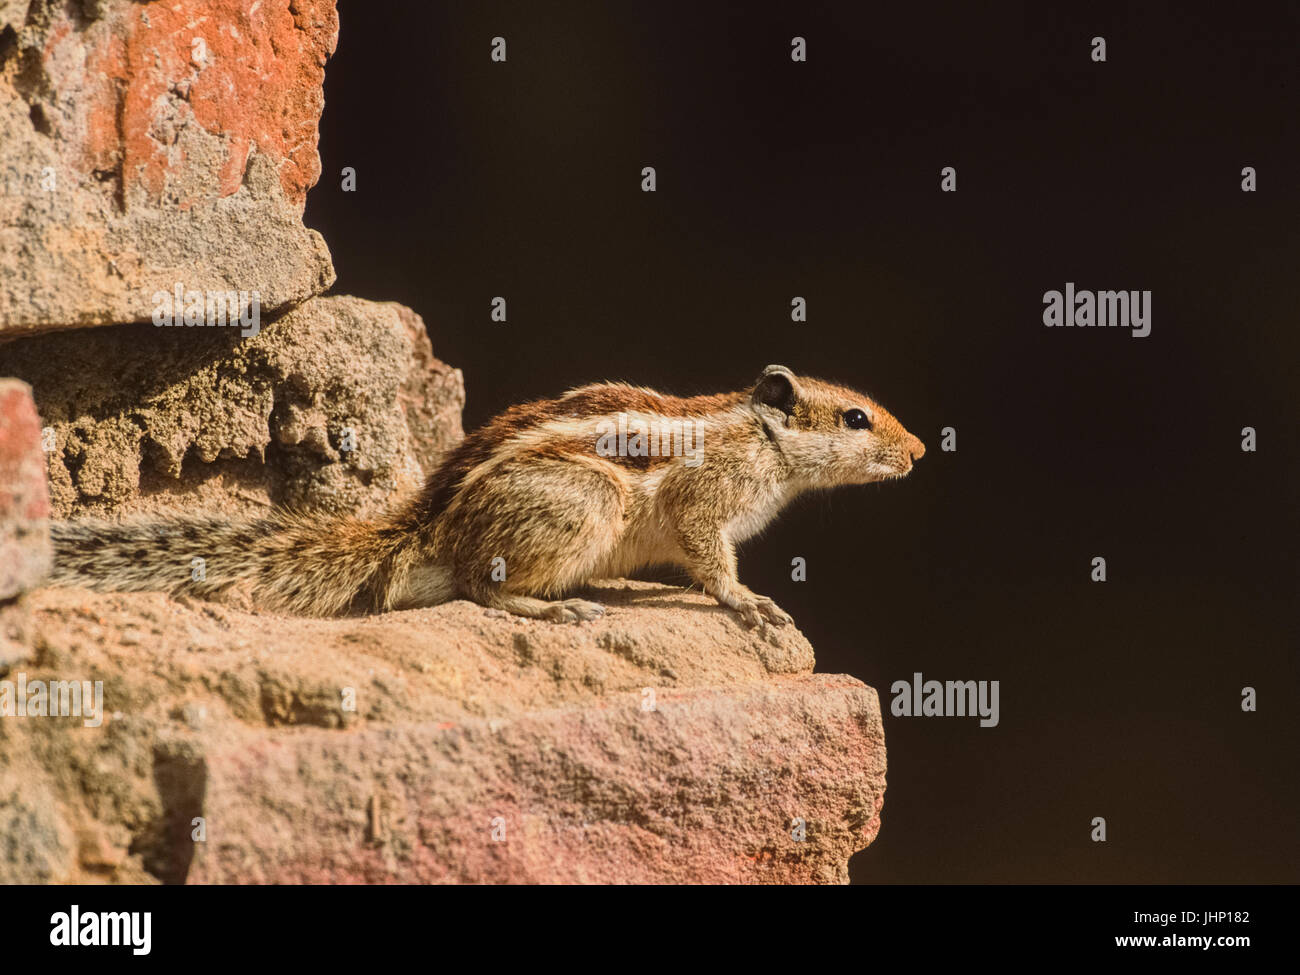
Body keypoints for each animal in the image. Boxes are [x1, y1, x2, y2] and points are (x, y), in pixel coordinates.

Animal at [48, 365, 925, 626]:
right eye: (855, 417)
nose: (919, 450)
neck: (762, 438)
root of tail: (422, 528)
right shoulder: (706, 502)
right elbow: (712, 560)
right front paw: (749, 602)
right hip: (584, 501)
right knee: (477, 583)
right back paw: (553, 607)